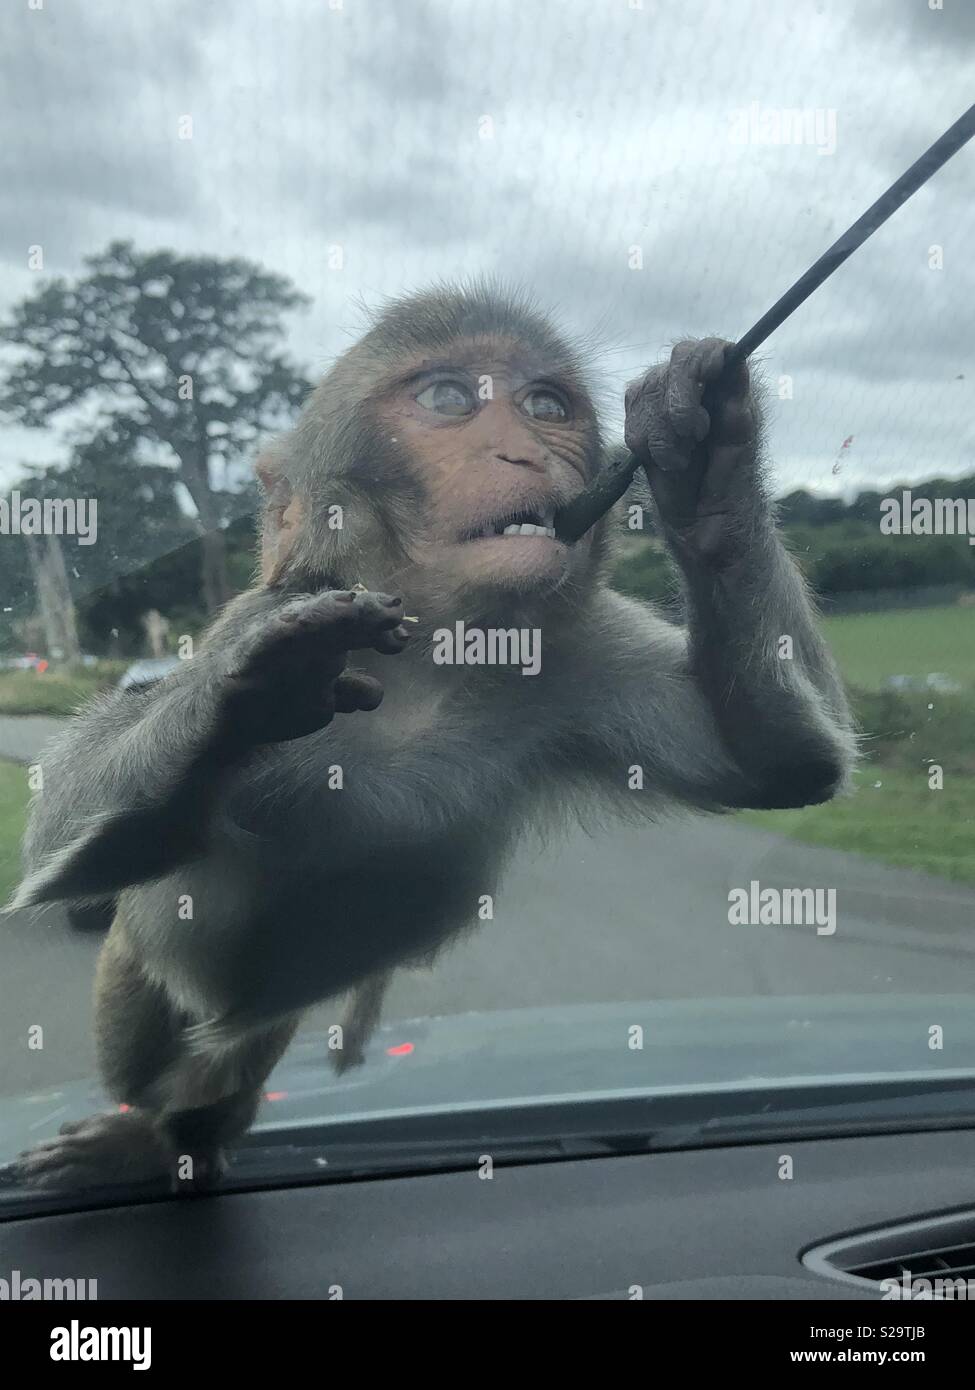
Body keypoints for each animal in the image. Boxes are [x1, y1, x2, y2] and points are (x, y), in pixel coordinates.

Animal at [9, 283, 855, 1191]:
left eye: (546, 406)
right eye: (448, 398)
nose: (524, 454)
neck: (425, 658)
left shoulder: (577, 653)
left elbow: (778, 765)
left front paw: (704, 465)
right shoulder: (278, 604)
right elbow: (59, 831)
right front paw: (251, 692)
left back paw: (197, 1129)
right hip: (150, 974)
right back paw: (157, 1132)